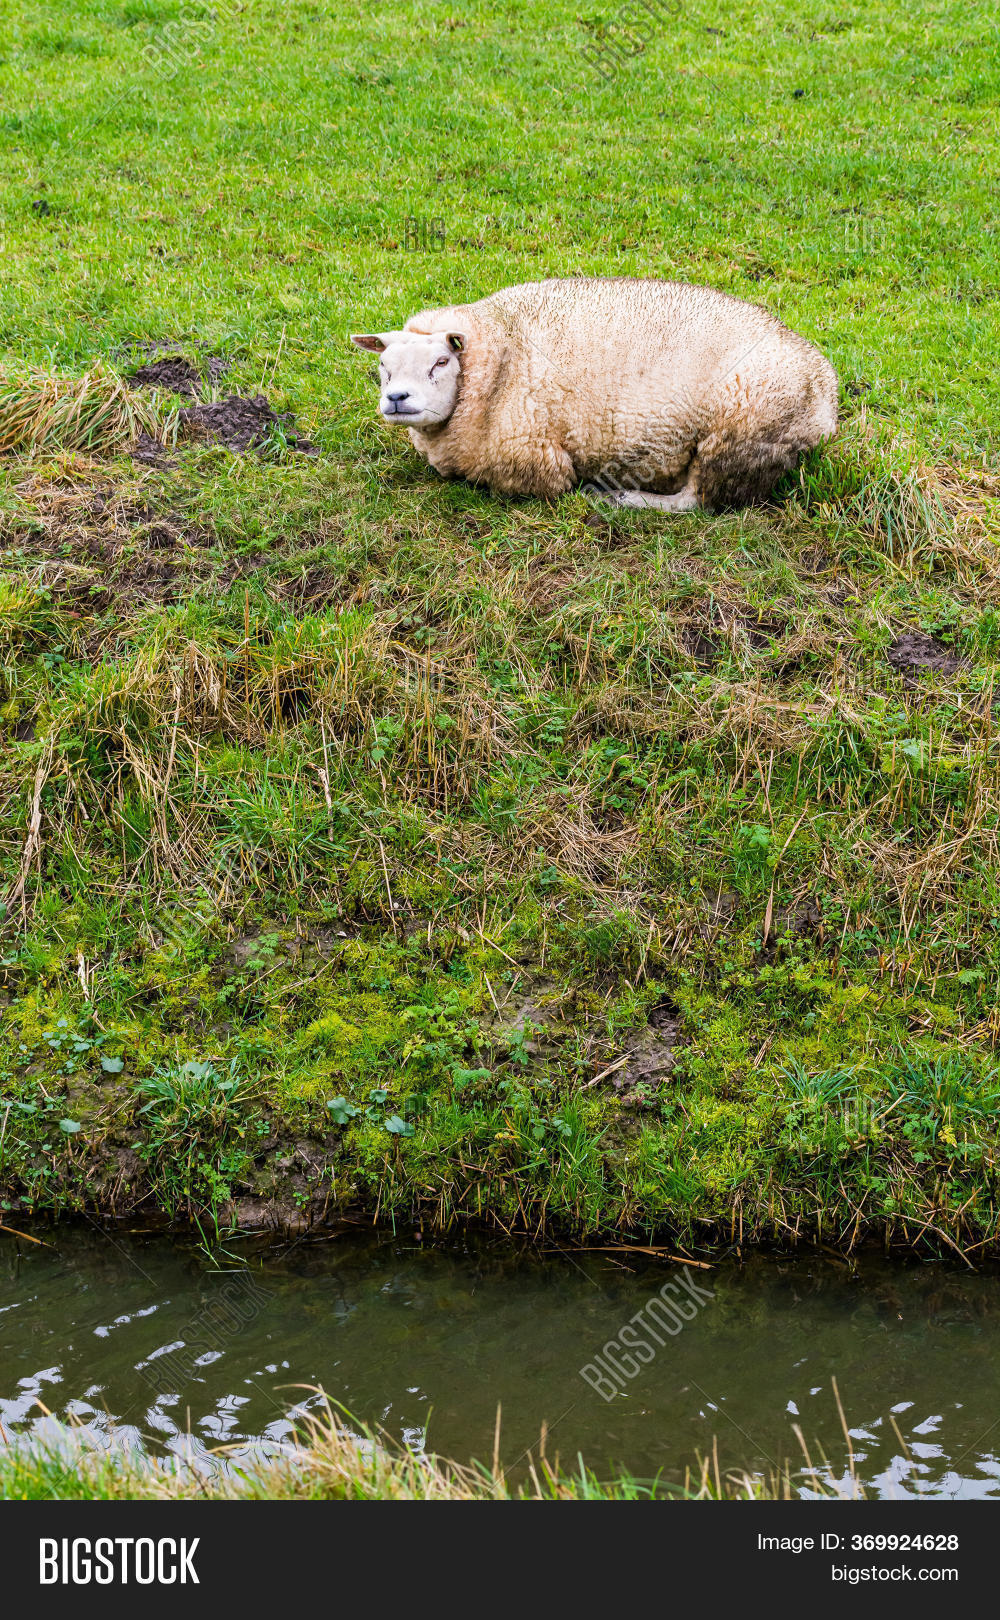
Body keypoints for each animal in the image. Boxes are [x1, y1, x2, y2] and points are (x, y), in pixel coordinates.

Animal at [351, 276, 837, 512]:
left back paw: (625, 500)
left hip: (737, 438)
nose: (397, 398)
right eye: (383, 366)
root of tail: (826, 393)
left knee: (697, 503)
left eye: (441, 362)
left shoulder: (534, 462)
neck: (498, 363)